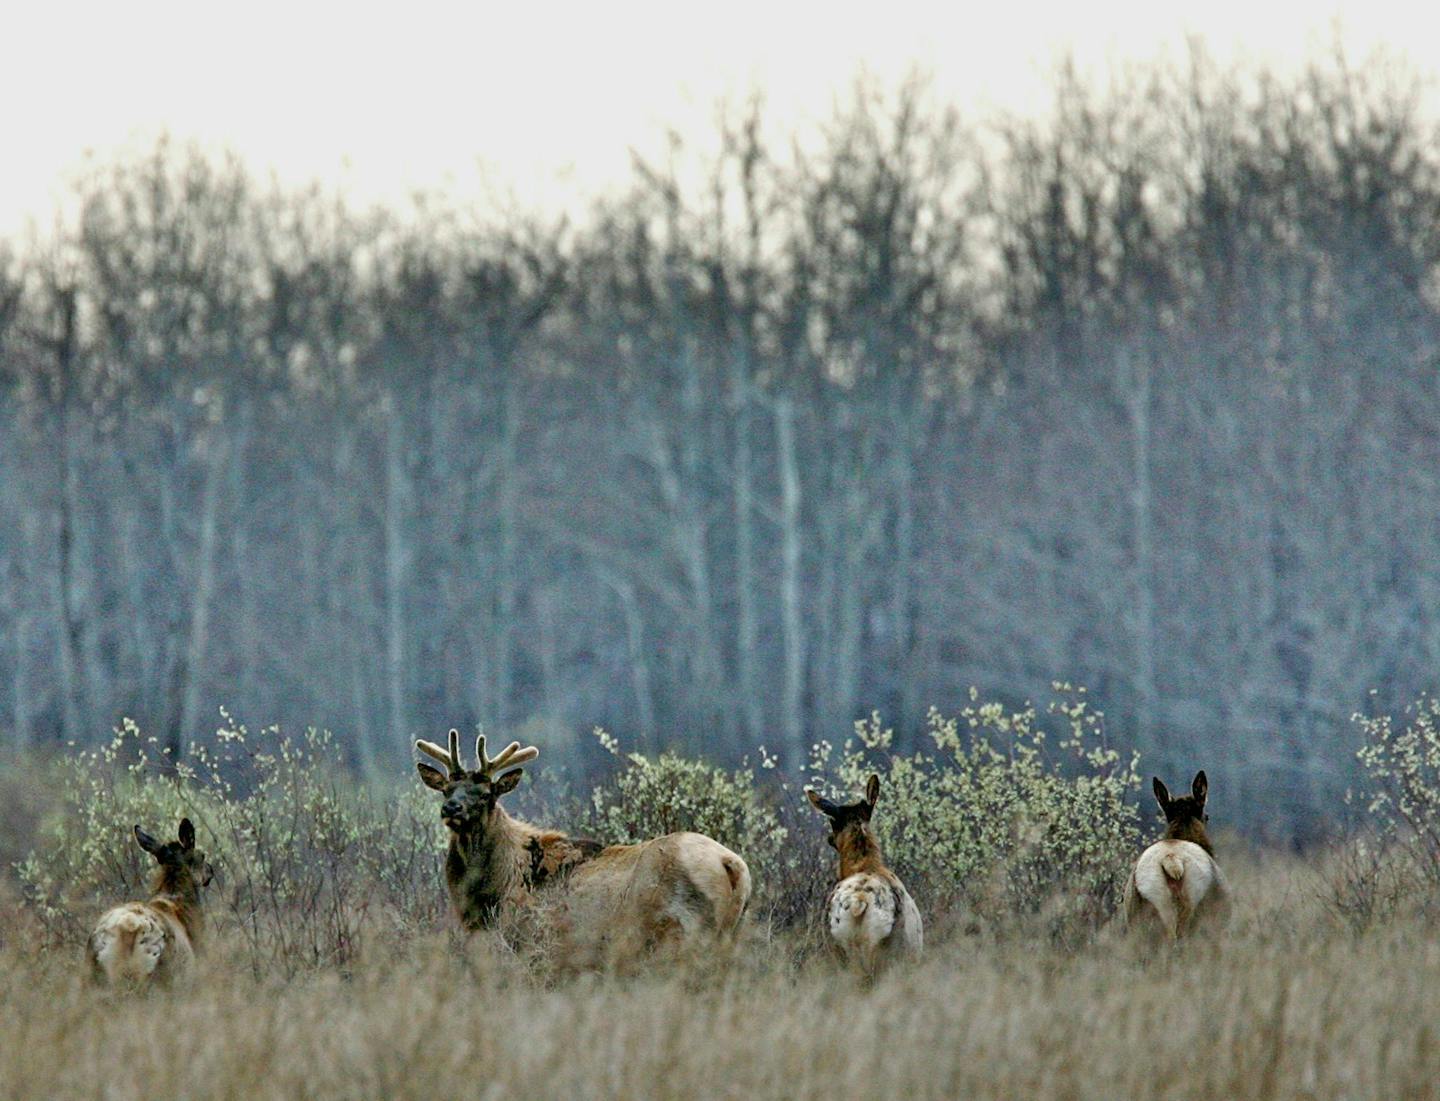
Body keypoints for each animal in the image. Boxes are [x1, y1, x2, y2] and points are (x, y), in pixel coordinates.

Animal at [415, 730, 752, 967]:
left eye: (486, 794)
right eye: (446, 789)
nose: (451, 808)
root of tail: (733, 864)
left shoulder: (533, 937)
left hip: (686, 931)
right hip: (728, 933)